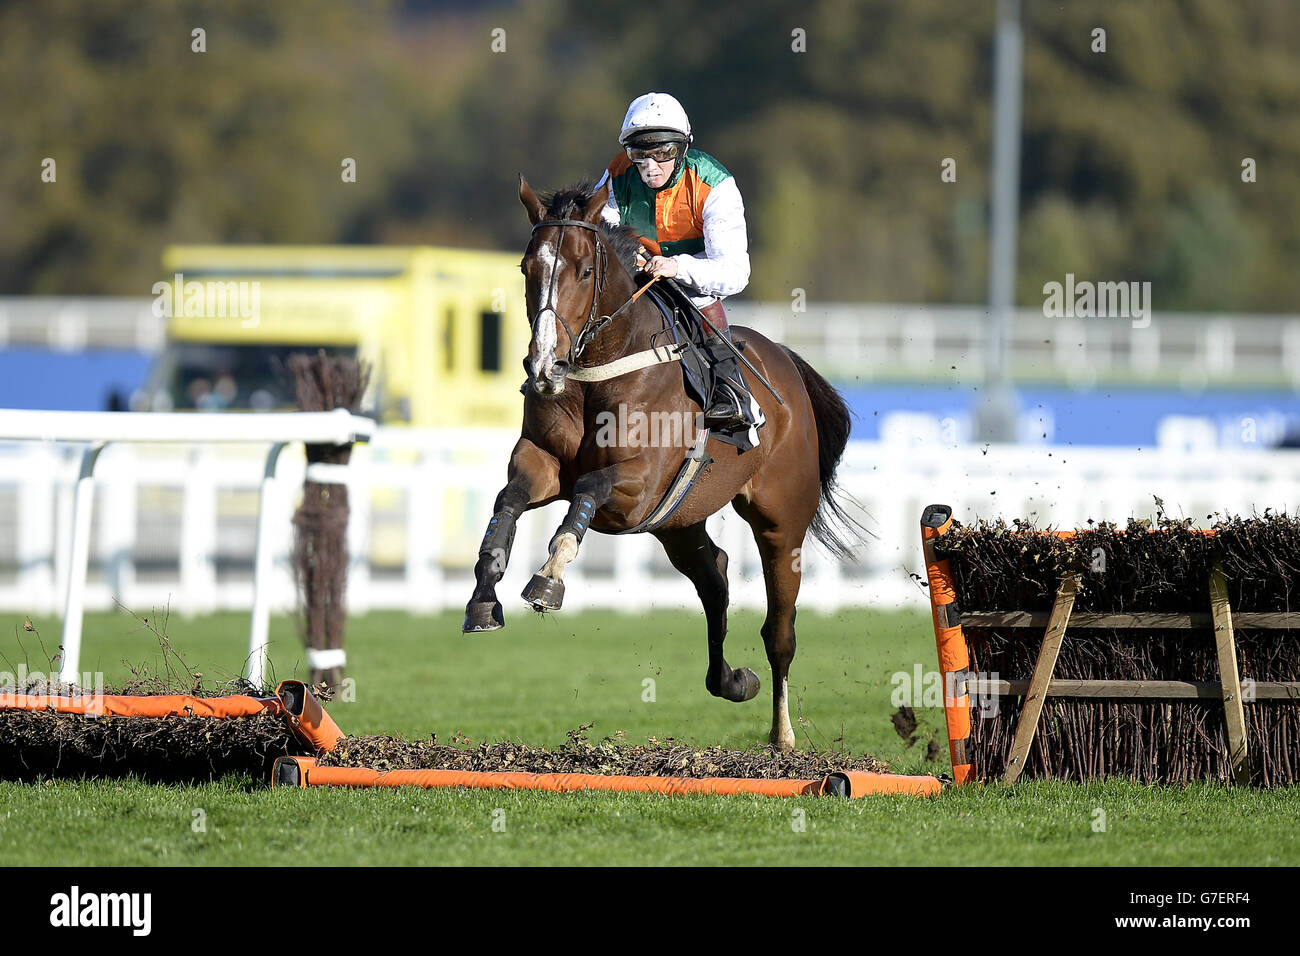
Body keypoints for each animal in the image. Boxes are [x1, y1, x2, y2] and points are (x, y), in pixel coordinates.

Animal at [462, 176, 860, 752]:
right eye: (526, 267)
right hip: (679, 520)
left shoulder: (638, 488)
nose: (543, 367)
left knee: (779, 631)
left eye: (585, 270)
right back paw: (732, 681)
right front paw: (483, 597)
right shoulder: (540, 461)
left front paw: (548, 578)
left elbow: (588, 490)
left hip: (781, 522)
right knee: (716, 577)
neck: (599, 370)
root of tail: (788, 364)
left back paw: (782, 736)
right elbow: (507, 503)